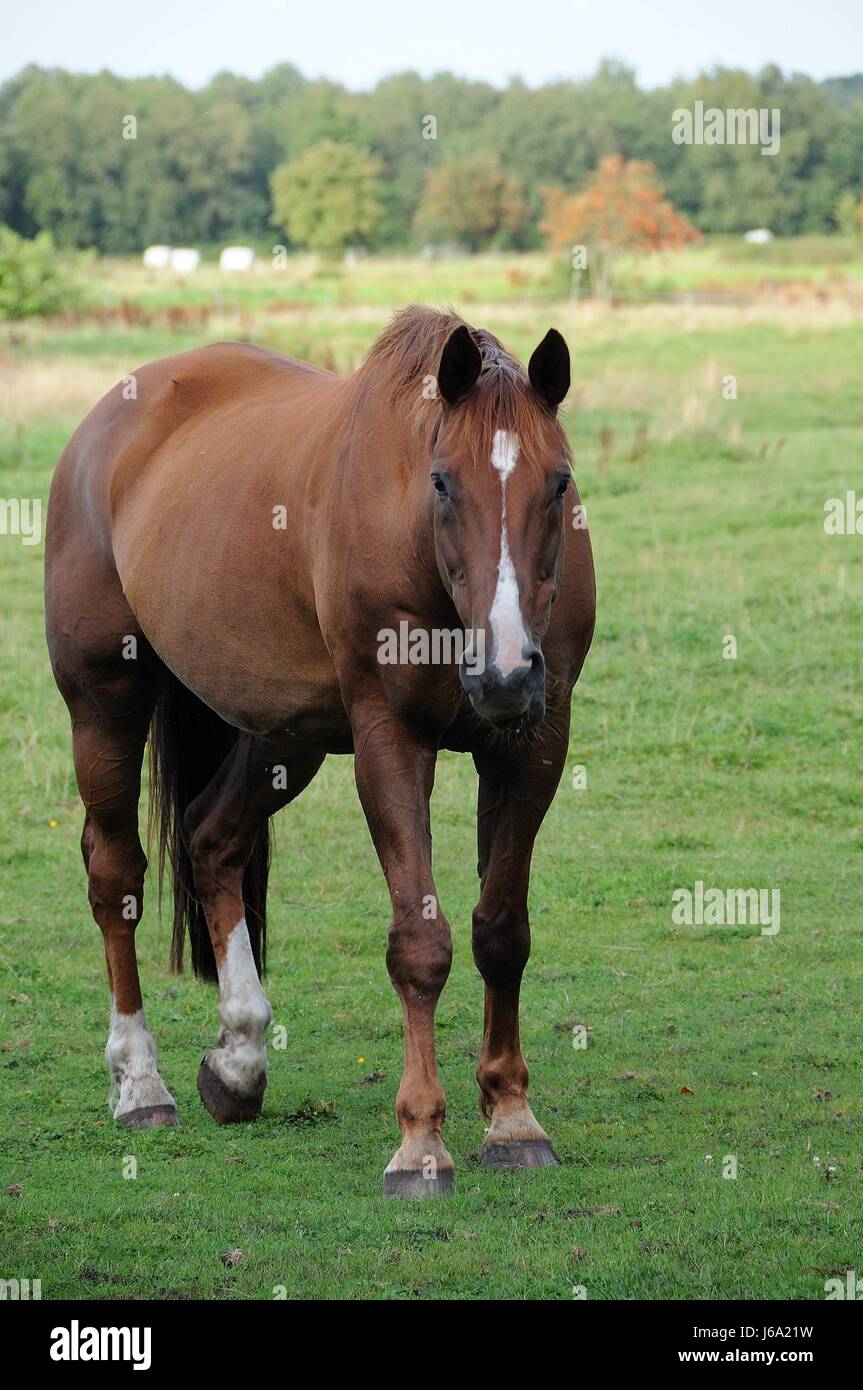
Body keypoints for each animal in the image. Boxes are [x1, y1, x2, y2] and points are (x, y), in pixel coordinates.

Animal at [44, 306, 595, 1196]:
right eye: (441, 482)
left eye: (558, 482)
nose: (507, 670)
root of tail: (110, 420)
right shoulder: (389, 741)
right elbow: (420, 945)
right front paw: (420, 1142)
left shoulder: (533, 744)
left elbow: (500, 933)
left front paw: (512, 1119)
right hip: (104, 702)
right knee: (116, 875)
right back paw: (140, 1082)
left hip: (284, 735)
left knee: (212, 838)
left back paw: (238, 1062)